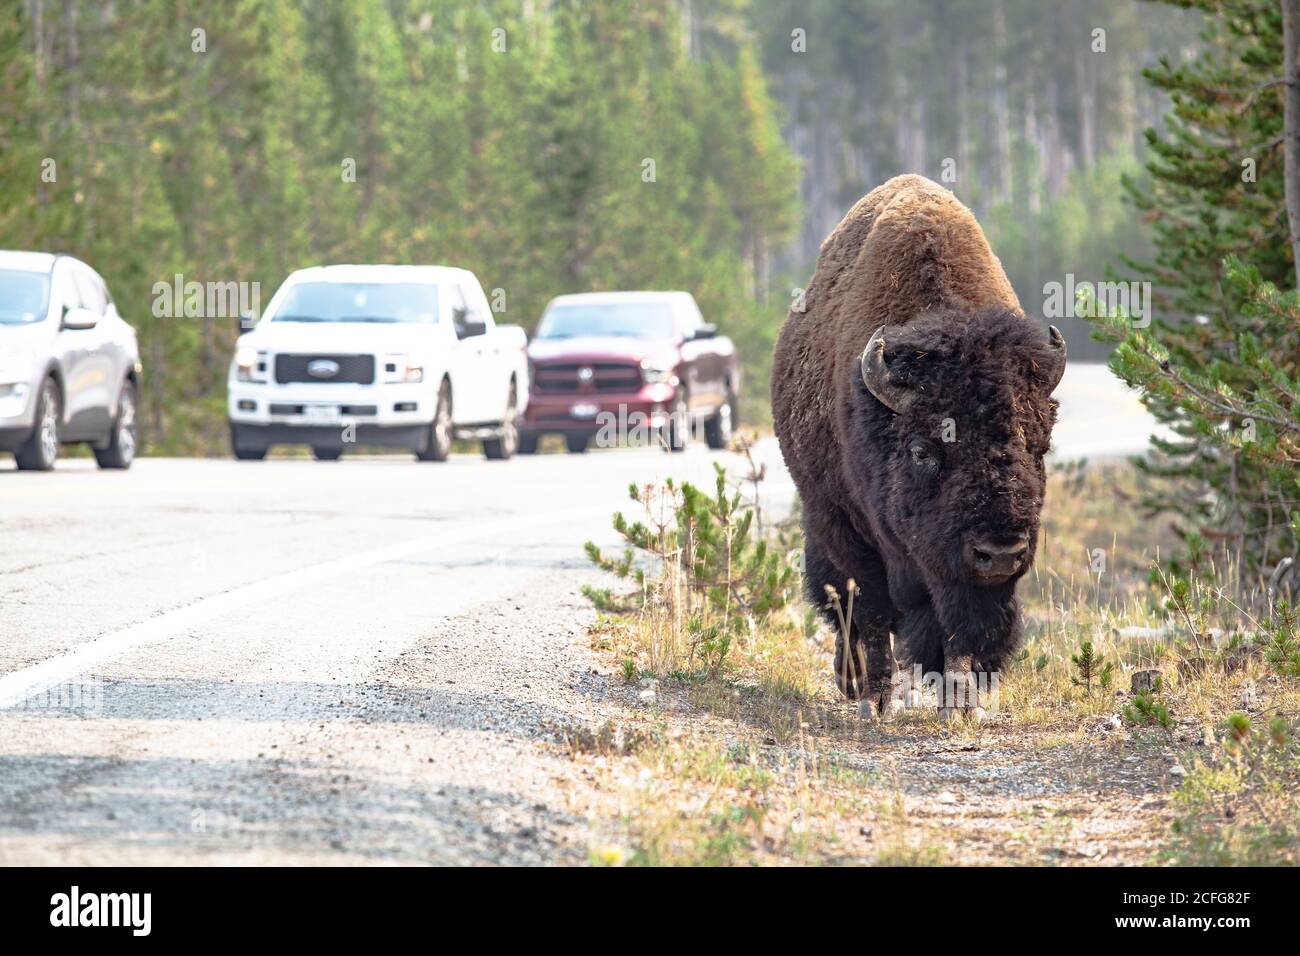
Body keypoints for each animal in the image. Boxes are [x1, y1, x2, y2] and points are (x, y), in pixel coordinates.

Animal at [771, 175, 1066, 719]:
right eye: (923, 451)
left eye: (1039, 444)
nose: (999, 551)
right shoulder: (853, 535)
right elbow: (868, 613)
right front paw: (873, 699)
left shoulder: (961, 578)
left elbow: (958, 627)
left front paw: (962, 701)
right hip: (822, 516)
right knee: (843, 604)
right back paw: (855, 683)